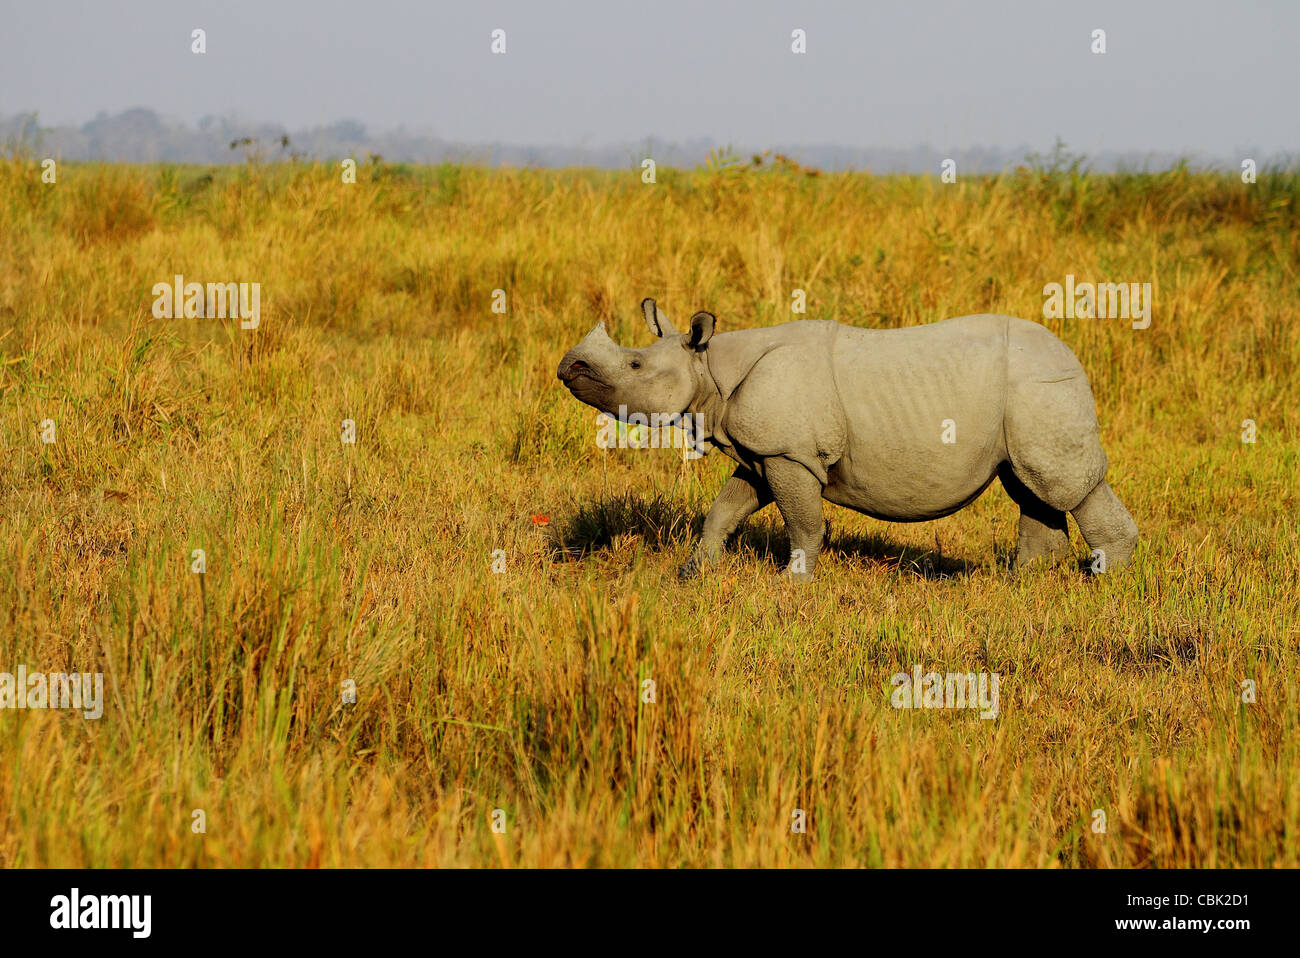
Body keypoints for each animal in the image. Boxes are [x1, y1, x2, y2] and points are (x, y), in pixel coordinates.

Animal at [556, 299, 1138, 579]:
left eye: (634, 365)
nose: (567, 366)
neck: (710, 368)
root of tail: (1073, 356)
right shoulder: (762, 452)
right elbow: (724, 509)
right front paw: (692, 573)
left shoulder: (790, 453)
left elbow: (804, 523)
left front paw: (793, 583)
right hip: (1024, 396)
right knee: (1028, 487)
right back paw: (1025, 582)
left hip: (1040, 385)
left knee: (1066, 486)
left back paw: (1105, 582)